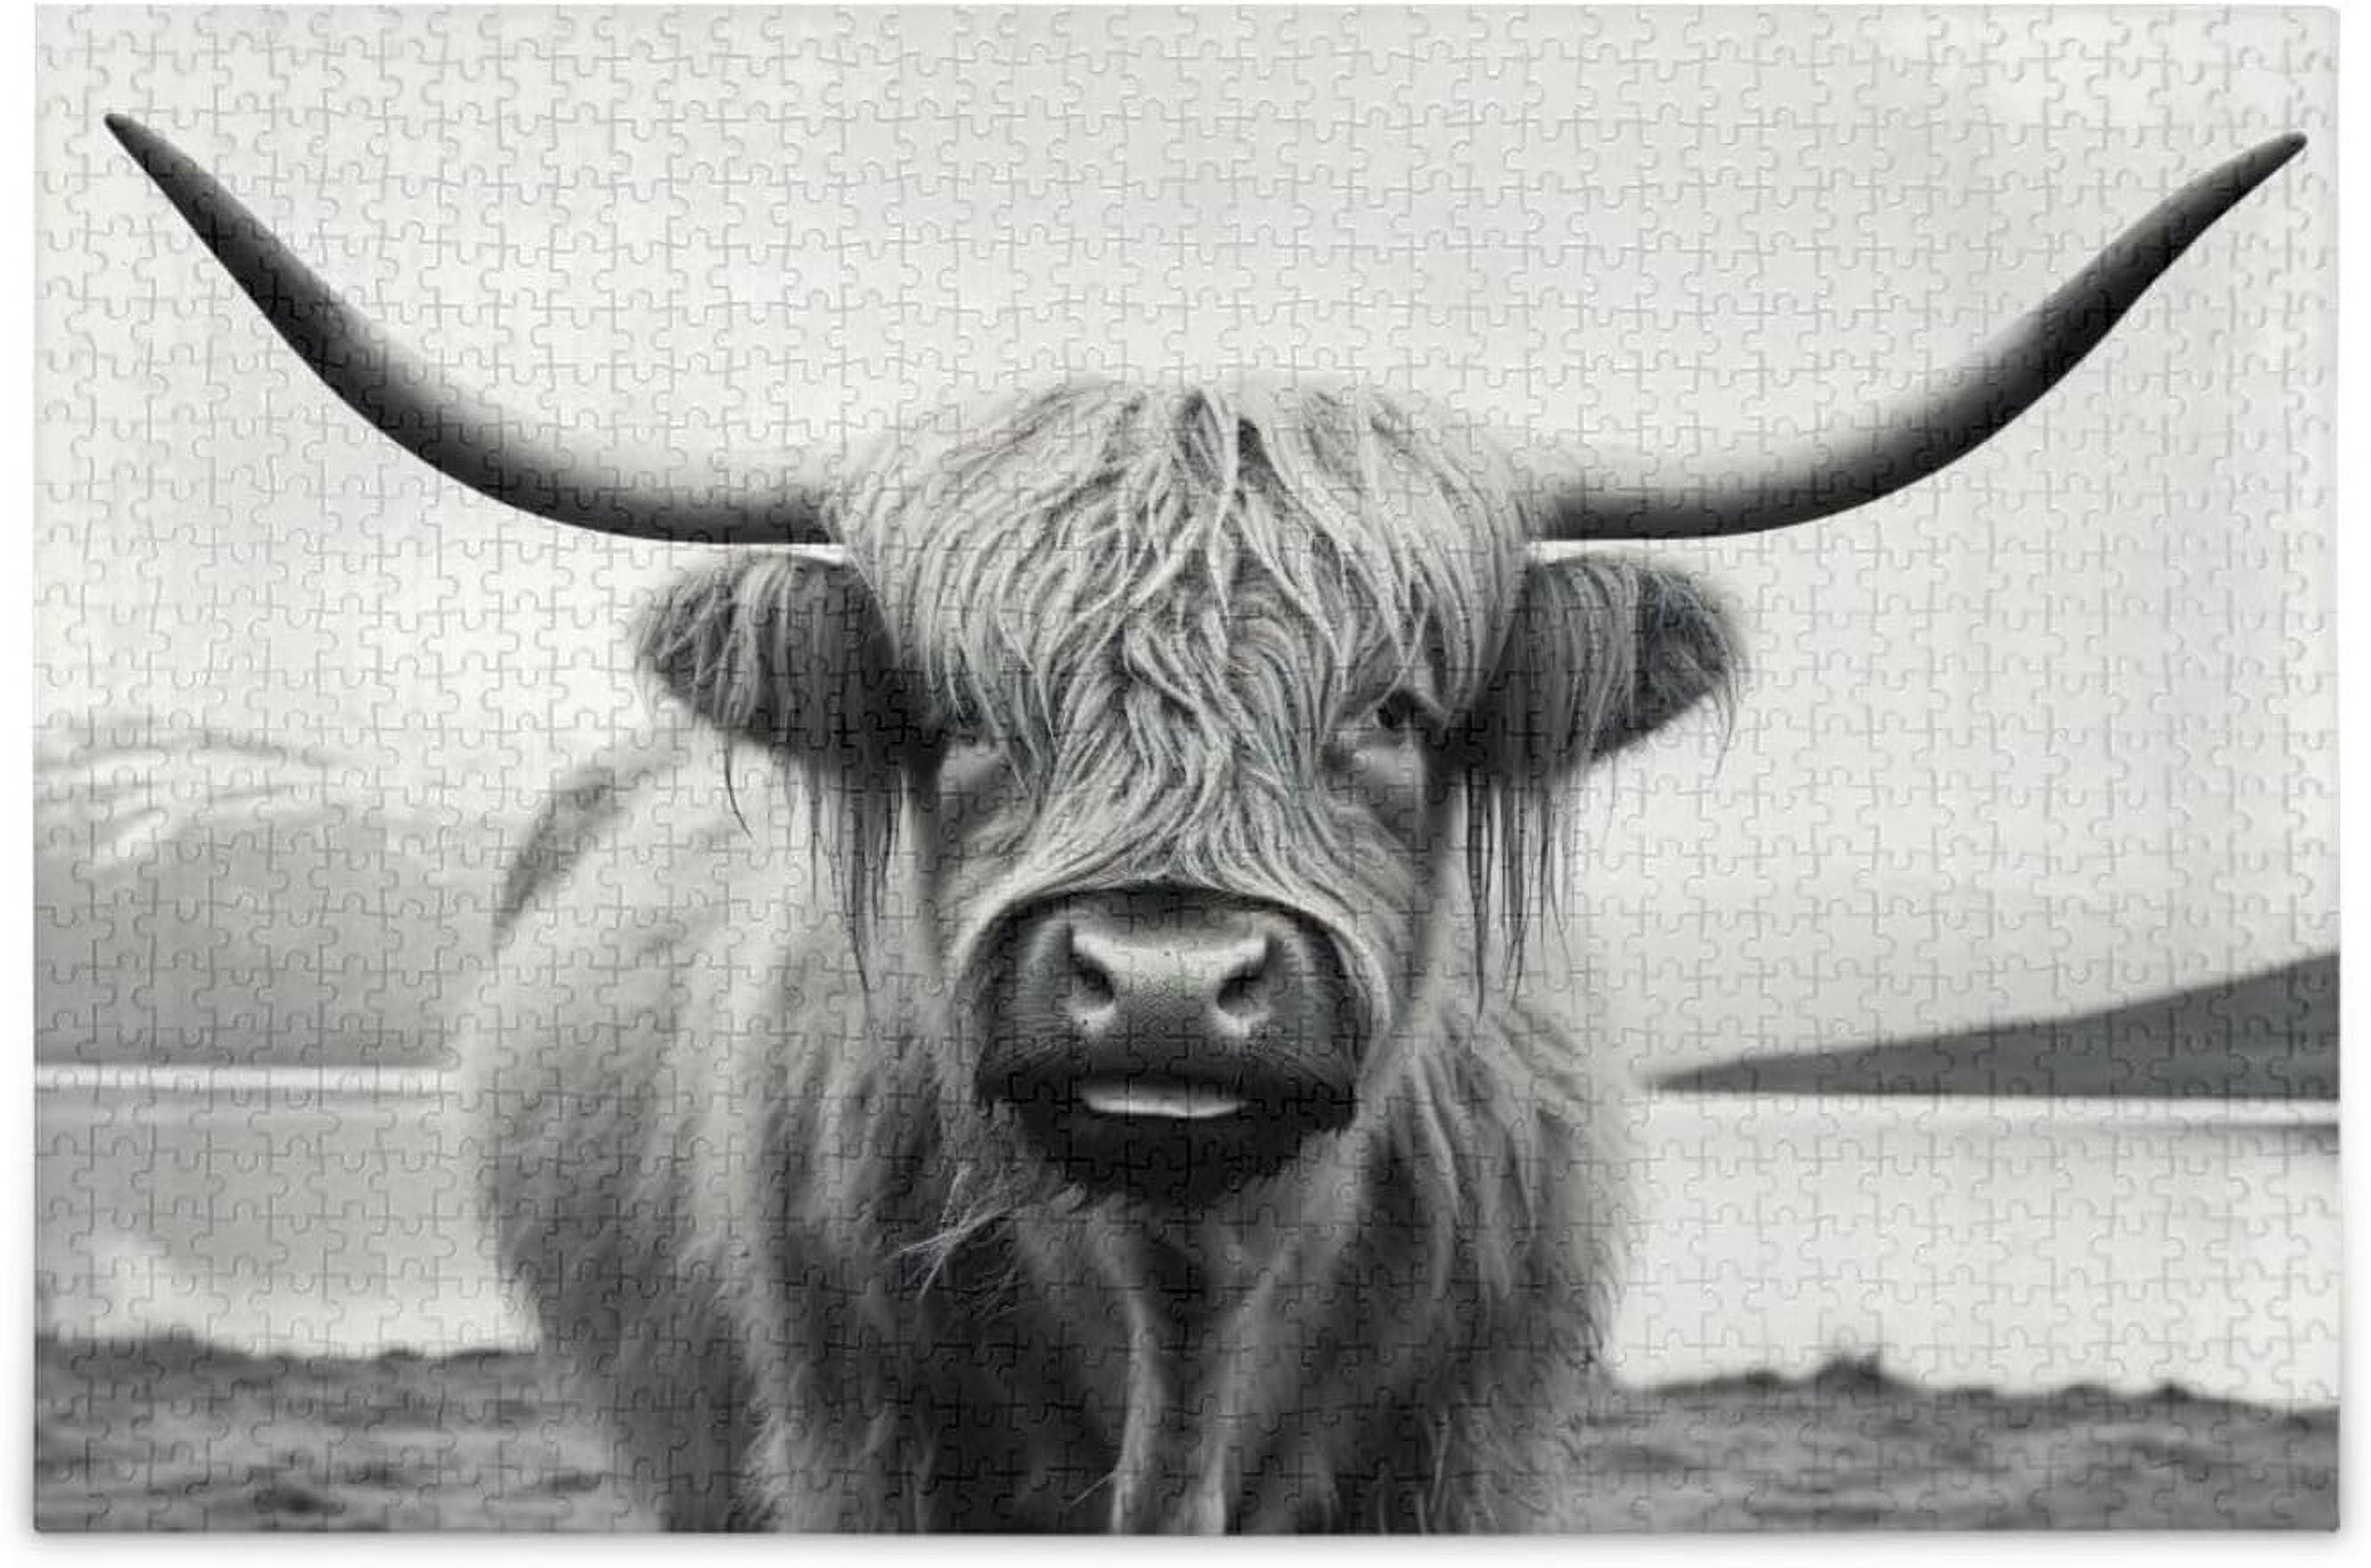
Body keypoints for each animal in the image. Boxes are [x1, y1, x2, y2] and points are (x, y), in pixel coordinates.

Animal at [107, 115, 2301, 1531]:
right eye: (961, 712)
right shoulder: (864, 1447)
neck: (1184, 1323)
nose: (1162, 988)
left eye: (1395, 710)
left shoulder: (1446, 1461)